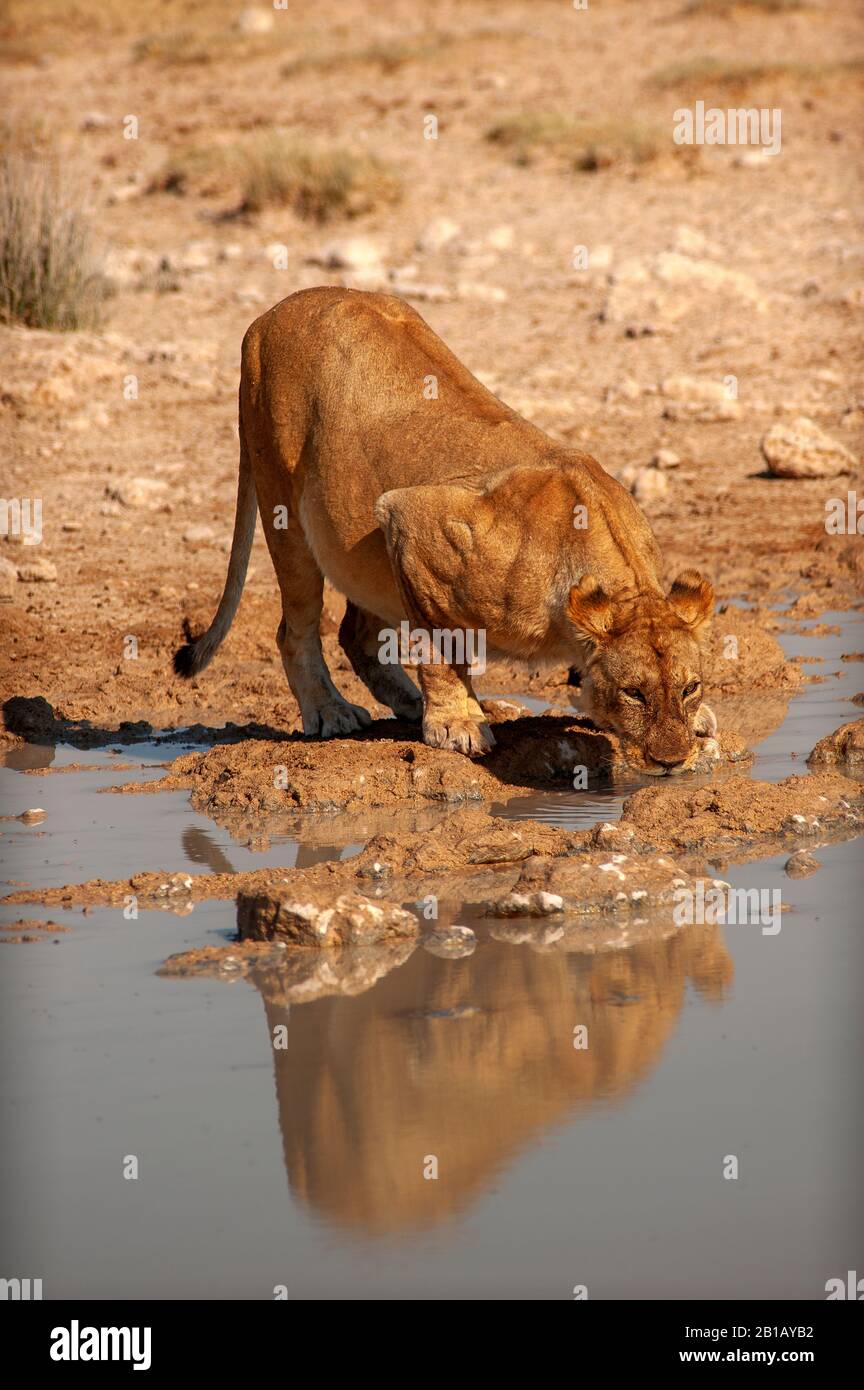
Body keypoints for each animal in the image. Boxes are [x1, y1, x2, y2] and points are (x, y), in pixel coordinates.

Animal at [173, 286, 716, 773]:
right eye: (634, 692)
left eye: (689, 687)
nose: (670, 762)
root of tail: (265, 318)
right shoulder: (411, 519)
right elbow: (441, 646)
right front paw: (458, 724)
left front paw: (702, 723)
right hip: (285, 506)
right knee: (295, 630)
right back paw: (331, 711)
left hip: (365, 549)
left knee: (355, 634)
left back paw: (411, 702)